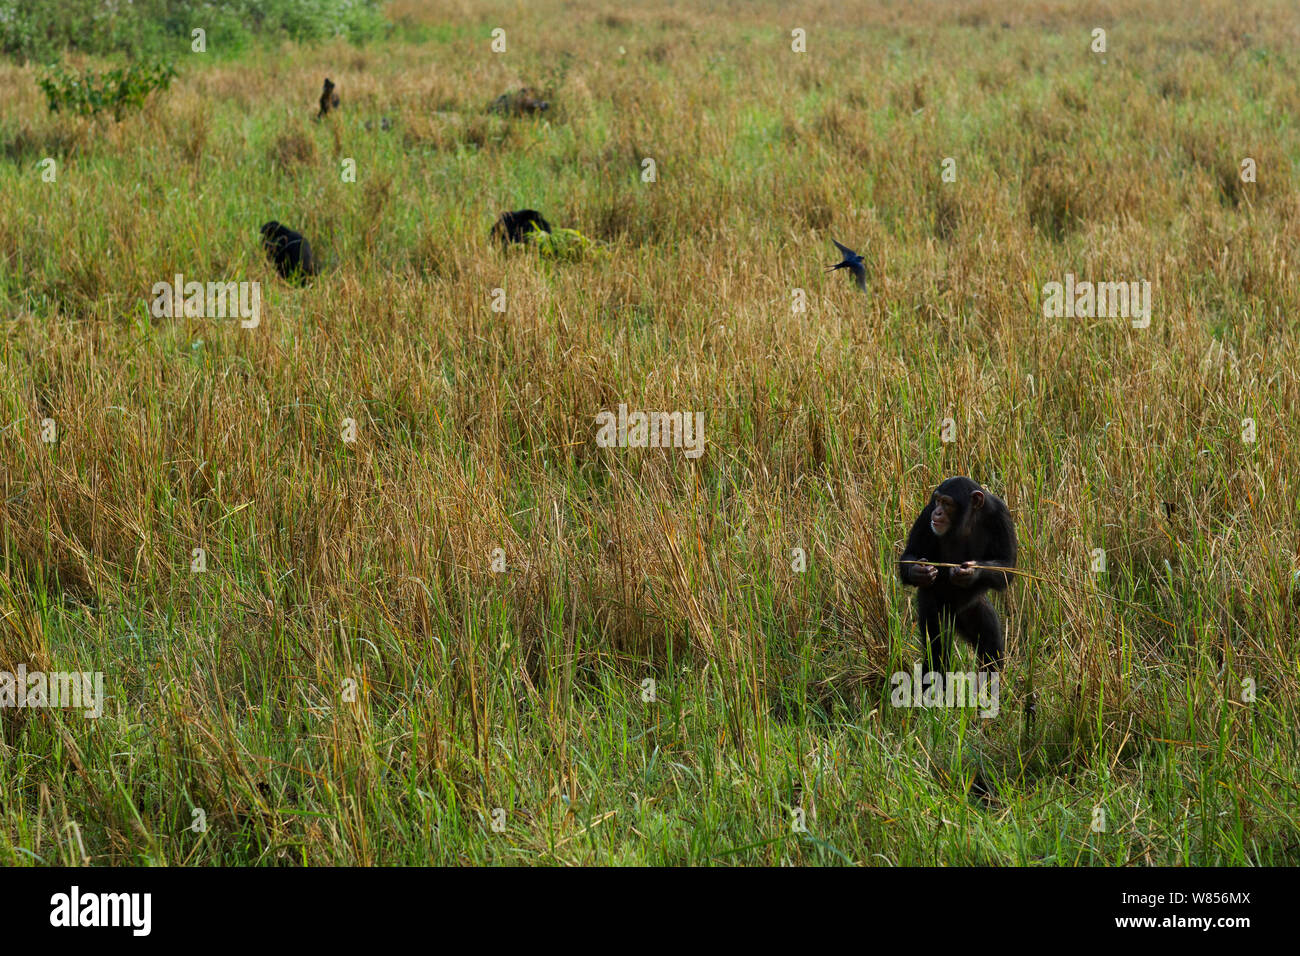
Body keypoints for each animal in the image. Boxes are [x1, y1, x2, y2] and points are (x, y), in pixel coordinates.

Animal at [899, 476, 1017, 680]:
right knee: (937, 652)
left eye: (947, 503)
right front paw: (919, 572)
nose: (937, 512)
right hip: (936, 609)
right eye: (937, 501)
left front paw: (969, 573)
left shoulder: (1001, 514)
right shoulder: (927, 512)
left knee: (991, 648)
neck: (968, 519)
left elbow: (1006, 564)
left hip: (974, 609)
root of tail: (956, 614)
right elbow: (910, 554)